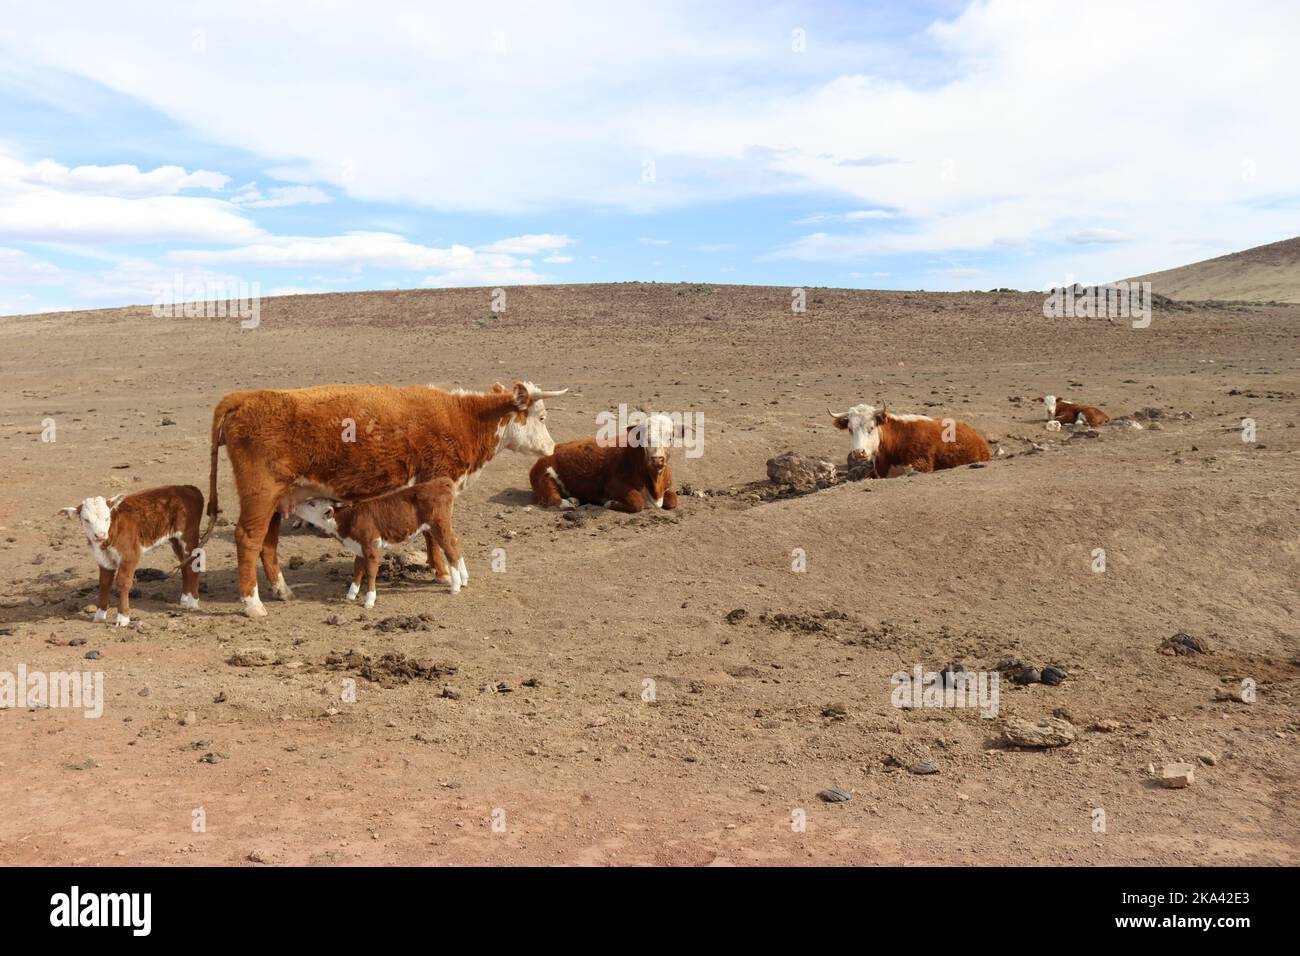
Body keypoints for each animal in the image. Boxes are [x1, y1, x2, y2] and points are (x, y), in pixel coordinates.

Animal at [58, 485, 205, 626]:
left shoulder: (130, 554)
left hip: (189, 535)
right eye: (86, 520)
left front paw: (123, 618)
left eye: (107, 517)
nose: (100, 535)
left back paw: (193, 602)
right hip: (175, 539)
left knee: (193, 565)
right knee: (185, 564)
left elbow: (123, 582)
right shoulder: (103, 558)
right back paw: (185, 597)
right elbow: (104, 583)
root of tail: (188, 488)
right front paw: (100, 615)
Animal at [293, 478, 462, 608]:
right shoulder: (359, 547)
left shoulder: (371, 545)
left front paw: (369, 600)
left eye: (312, 504)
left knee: (450, 550)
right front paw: (351, 594)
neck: (350, 518)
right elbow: (357, 569)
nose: (295, 506)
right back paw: (464, 580)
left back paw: (455, 587)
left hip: (438, 526)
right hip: (443, 526)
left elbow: (371, 571)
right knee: (455, 543)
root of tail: (439, 483)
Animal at [530, 412, 679, 513]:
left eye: (670, 437)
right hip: (544, 478)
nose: (657, 459)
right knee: (553, 498)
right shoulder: (613, 485)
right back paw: (569, 504)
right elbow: (638, 502)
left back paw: (573, 499)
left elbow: (673, 500)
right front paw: (610, 503)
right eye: (645, 437)